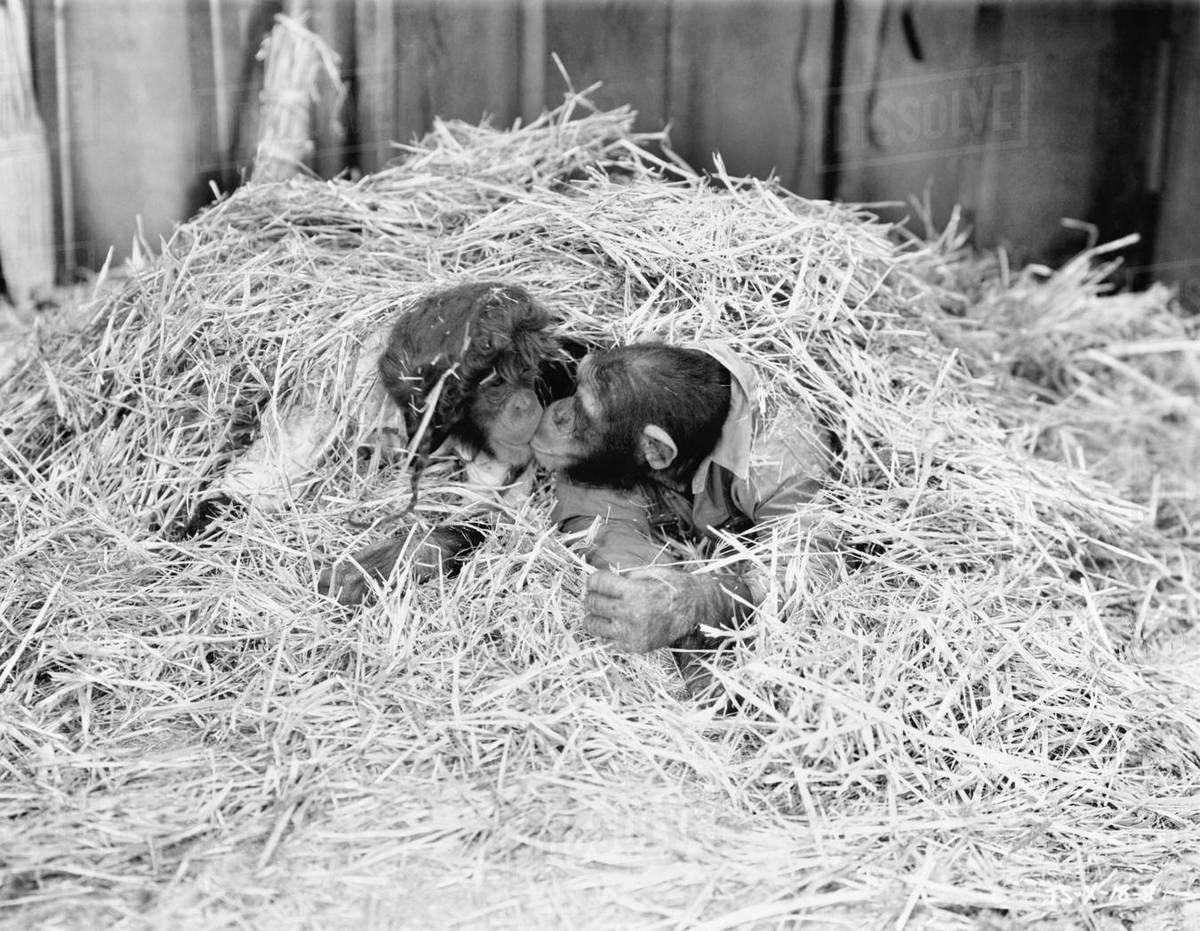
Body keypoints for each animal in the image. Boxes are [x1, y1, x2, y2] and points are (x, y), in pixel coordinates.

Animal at [529, 341, 835, 701]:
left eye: (581, 406)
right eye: (575, 391)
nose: (558, 412)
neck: (691, 462)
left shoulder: (785, 464)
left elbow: (798, 562)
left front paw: (665, 608)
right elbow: (620, 545)